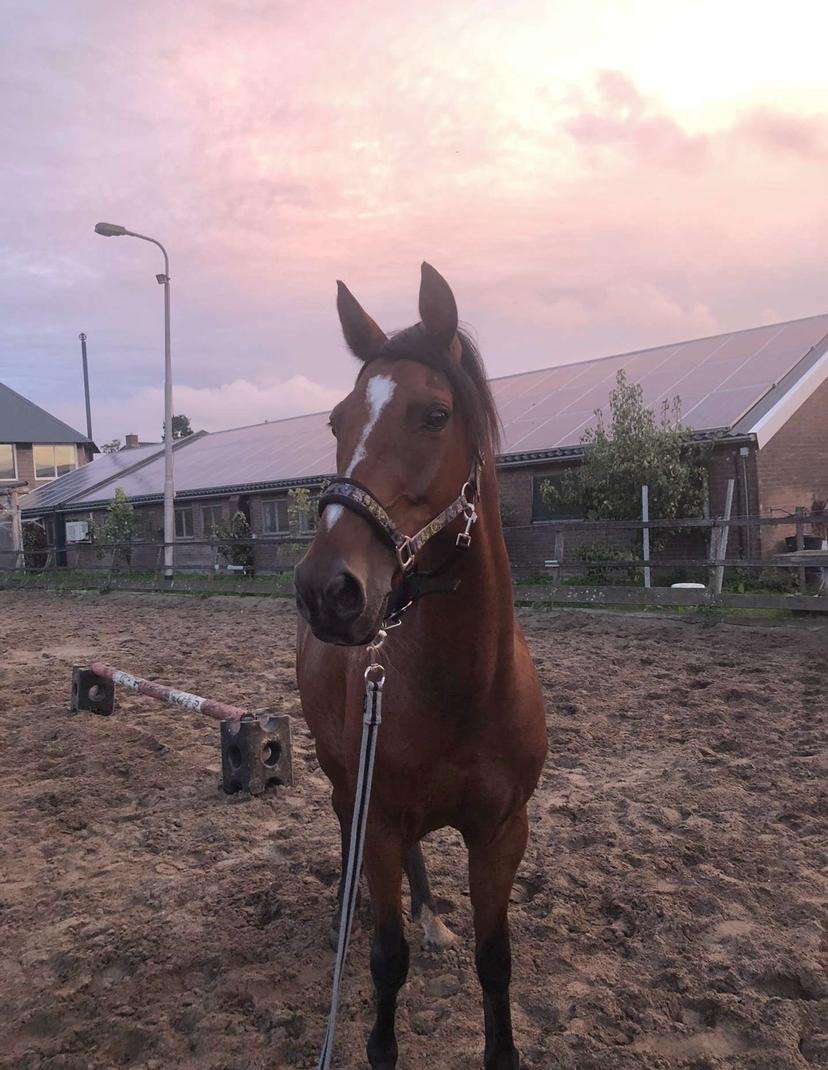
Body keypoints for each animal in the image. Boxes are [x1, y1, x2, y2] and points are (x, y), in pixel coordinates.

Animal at [295, 263, 547, 1069]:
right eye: (337, 422)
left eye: (434, 415)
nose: (328, 589)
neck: (463, 687)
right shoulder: (377, 816)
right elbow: (385, 958)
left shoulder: (502, 832)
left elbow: (496, 960)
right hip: (345, 781)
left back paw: (433, 917)